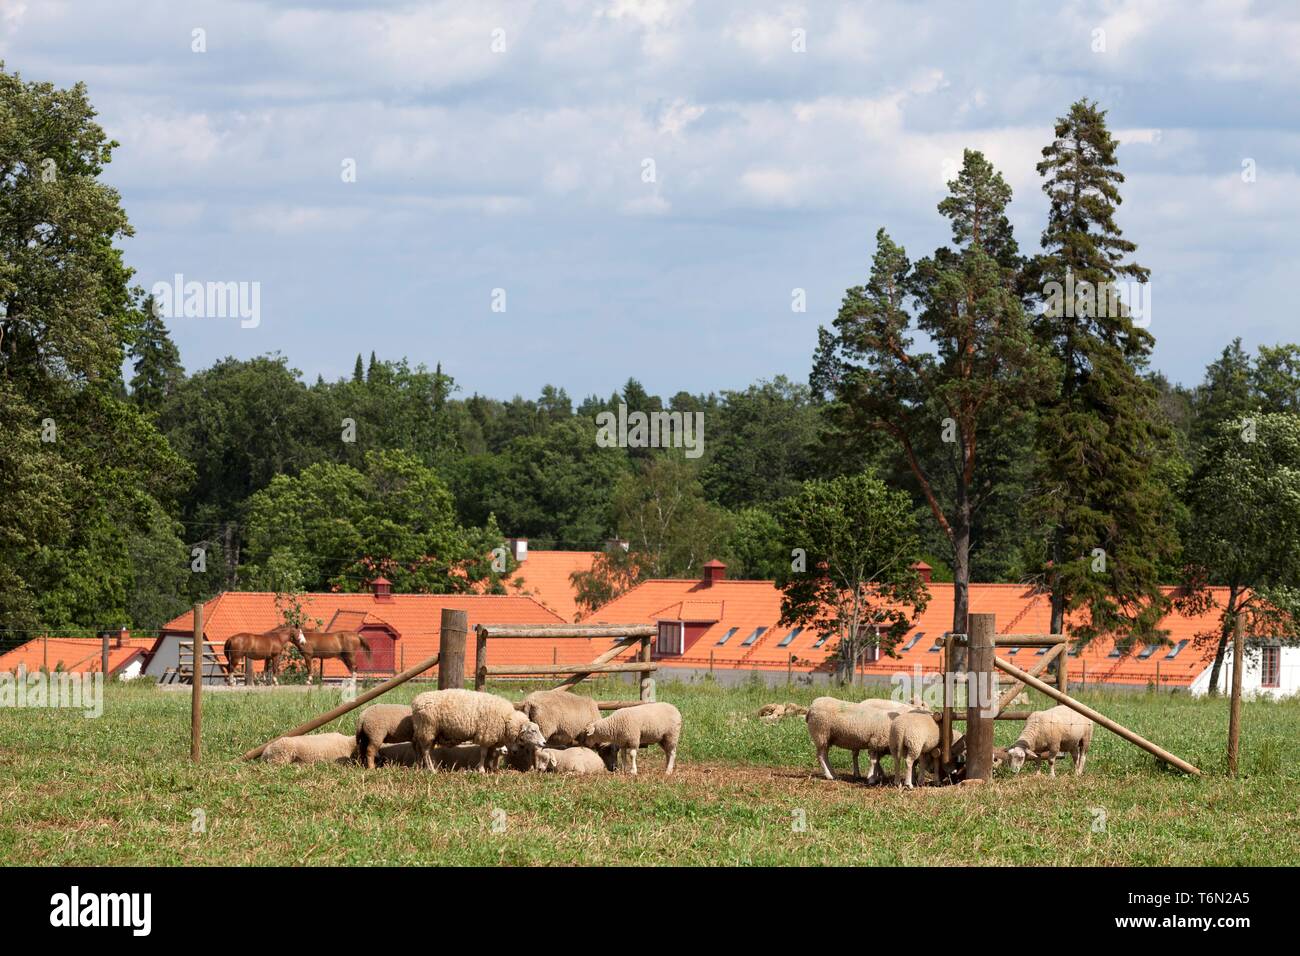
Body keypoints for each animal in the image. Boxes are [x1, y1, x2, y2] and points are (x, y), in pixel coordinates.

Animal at [410, 688, 546, 772]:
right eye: (532, 731)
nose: (544, 742)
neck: (507, 719)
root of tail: (416, 701)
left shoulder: (491, 737)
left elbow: (491, 754)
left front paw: (492, 769)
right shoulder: (486, 734)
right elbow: (484, 754)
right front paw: (481, 769)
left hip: (432, 732)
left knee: (426, 751)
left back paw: (428, 767)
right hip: (427, 728)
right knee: (425, 751)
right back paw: (431, 770)